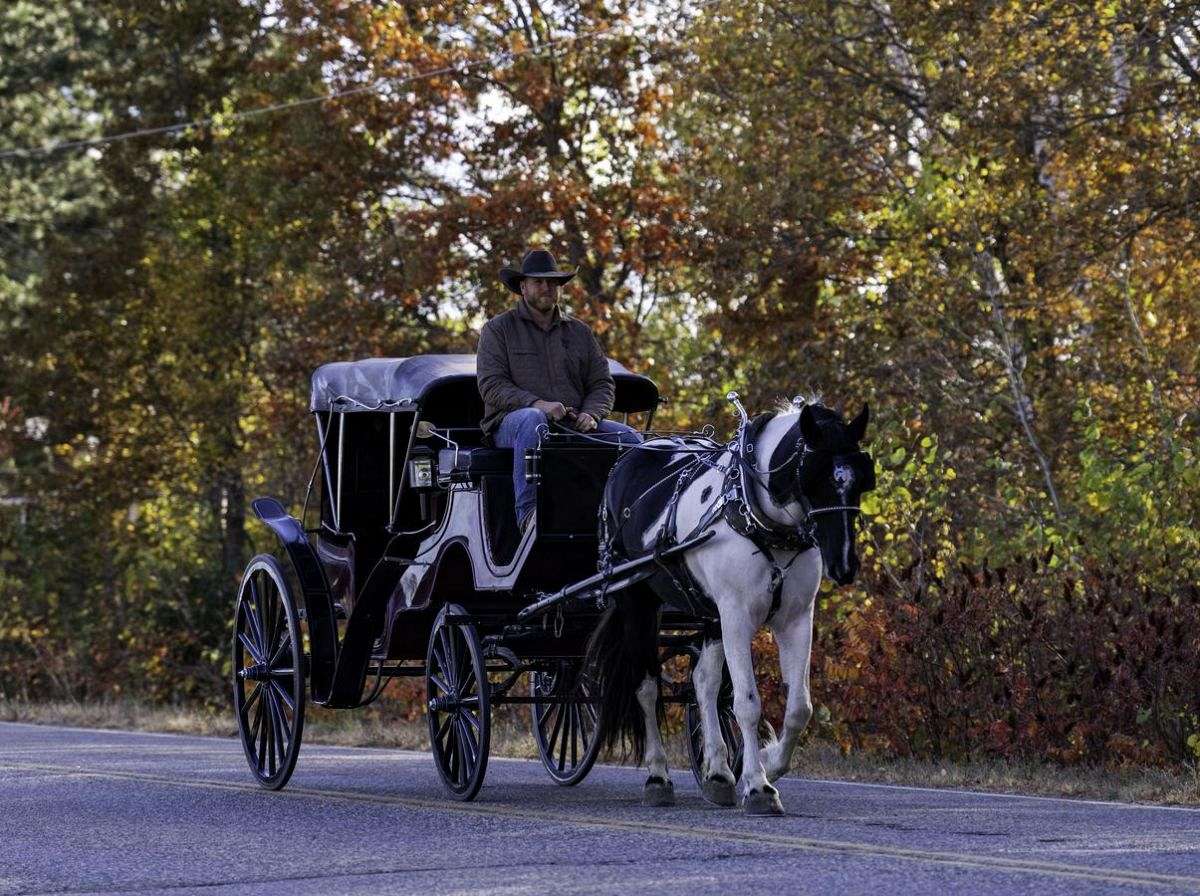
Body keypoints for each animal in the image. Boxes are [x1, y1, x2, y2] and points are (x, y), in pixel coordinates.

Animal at [584, 397, 874, 815]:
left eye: (861, 481)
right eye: (814, 479)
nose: (845, 564)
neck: (754, 513)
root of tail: (629, 458)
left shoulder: (795, 619)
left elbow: (799, 708)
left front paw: (769, 762)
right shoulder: (736, 617)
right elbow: (747, 703)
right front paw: (759, 787)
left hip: (708, 612)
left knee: (703, 684)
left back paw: (719, 774)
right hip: (638, 602)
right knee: (647, 688)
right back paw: (658, 777)